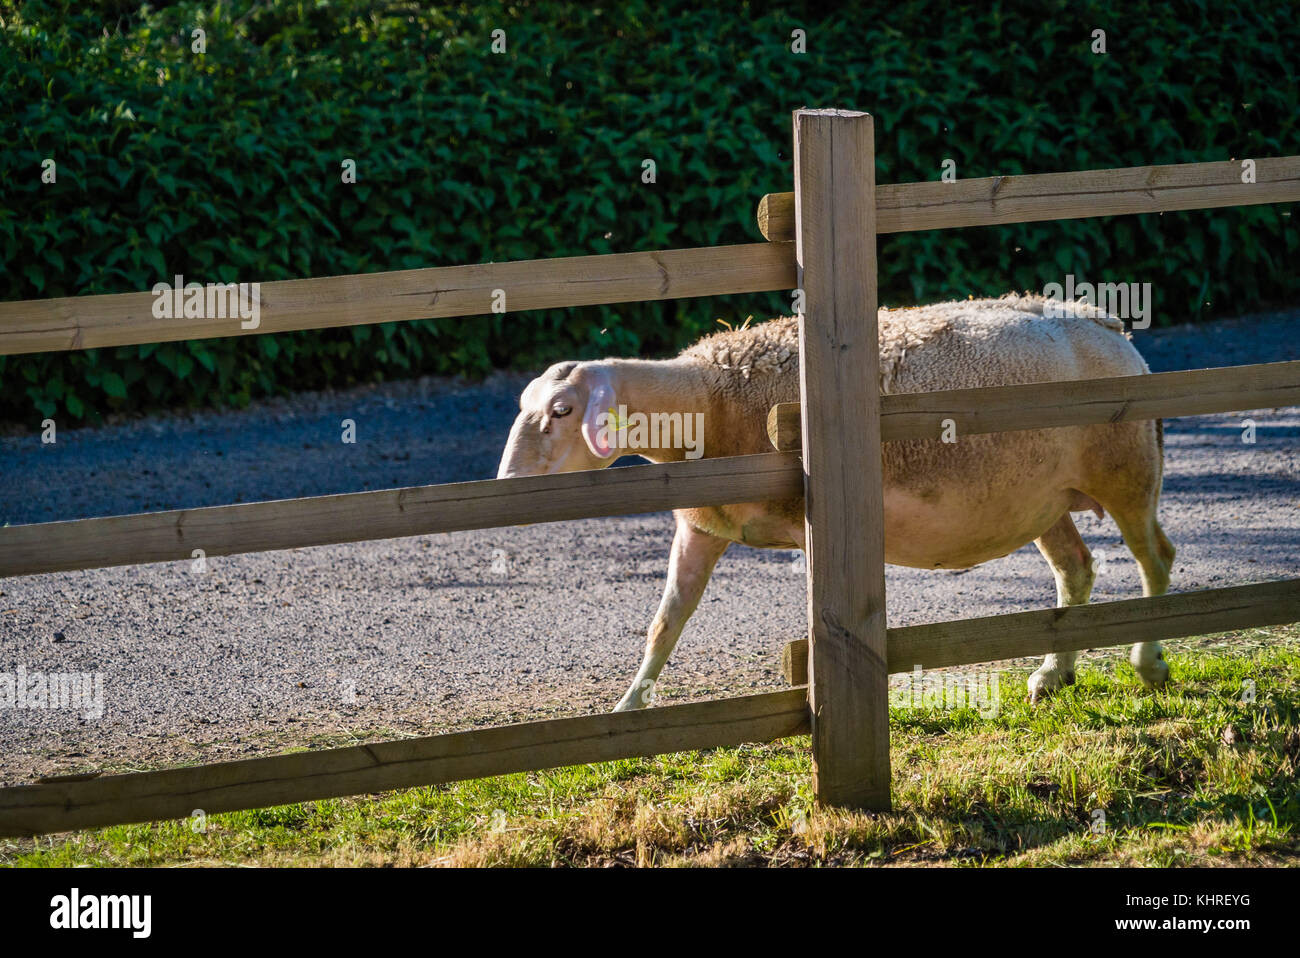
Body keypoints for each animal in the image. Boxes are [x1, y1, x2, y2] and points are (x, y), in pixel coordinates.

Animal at [497, 294, 1176, 711]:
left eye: (563, 411)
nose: (505, 483)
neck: (712, 400)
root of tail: (1103, 322)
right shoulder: (702, 526)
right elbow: (665, 624)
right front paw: (628, 706)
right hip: (1044, 499)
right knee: (1076, 570)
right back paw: (1053, 674)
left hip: (1126, 469)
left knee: (1156, 559)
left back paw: (1148, 662)